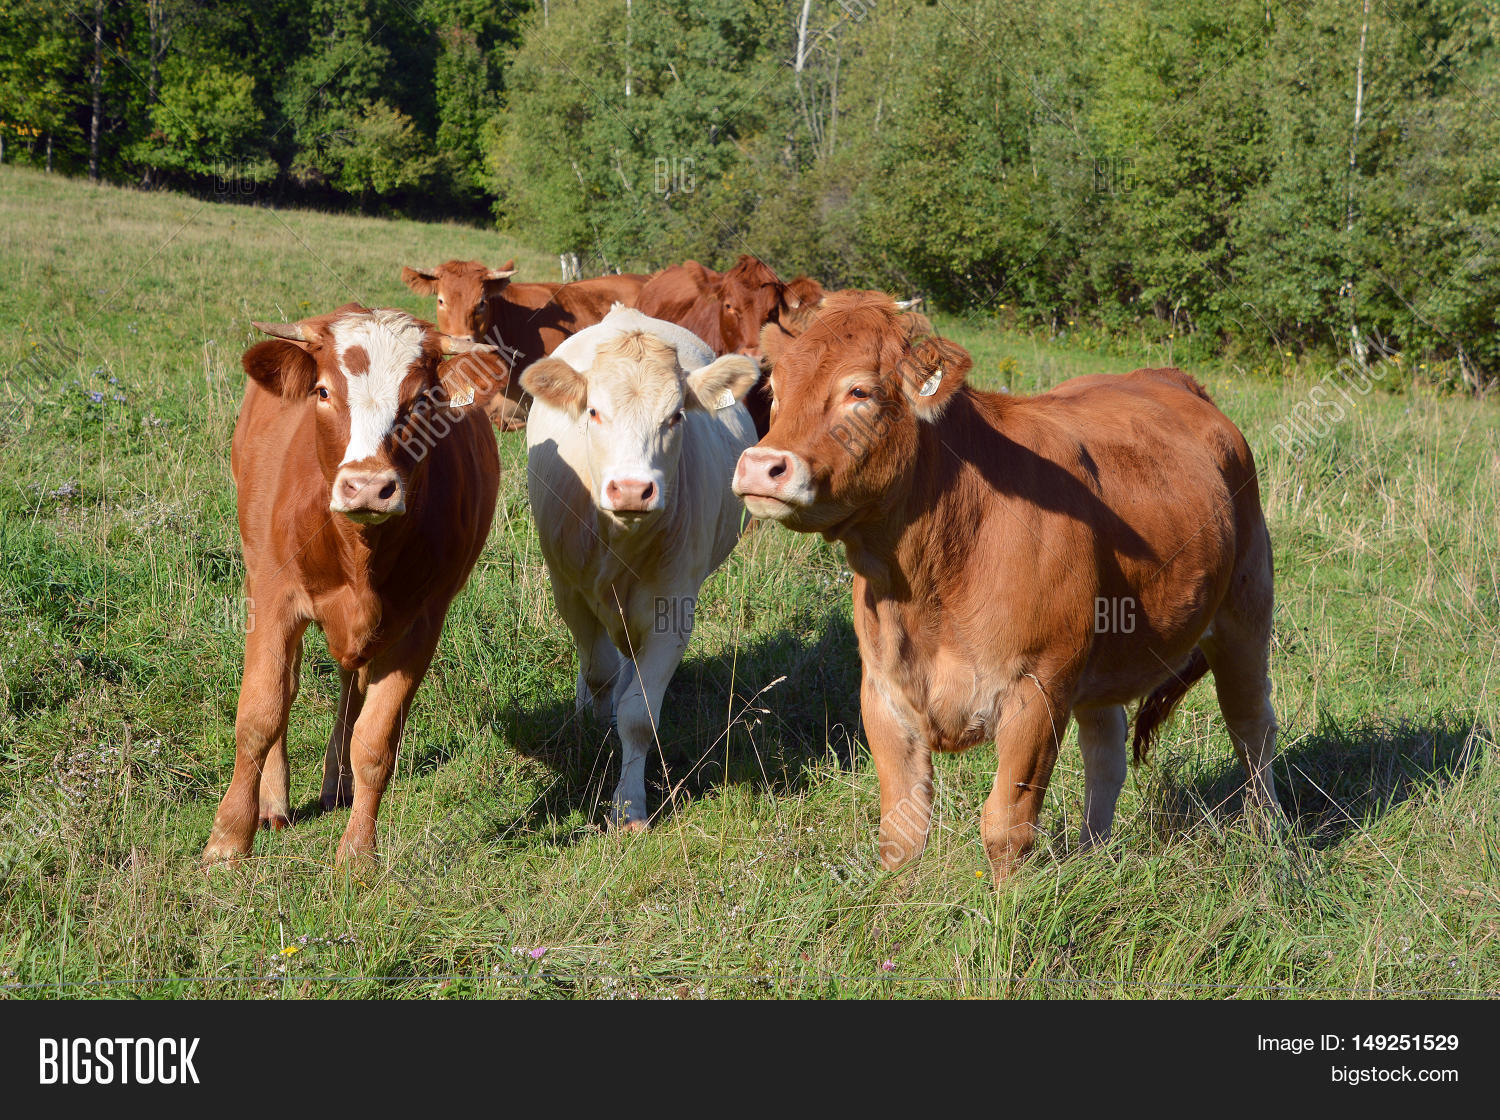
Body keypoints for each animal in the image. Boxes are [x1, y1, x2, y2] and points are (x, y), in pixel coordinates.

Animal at [202, 305, 500, 869]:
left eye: (422, 399)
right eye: (323, 391)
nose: (367, 486)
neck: (358, 551)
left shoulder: (420, 625)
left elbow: (376, 742)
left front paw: (358, 852)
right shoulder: (274, 599)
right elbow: (261, 713)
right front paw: (228, 839)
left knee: (351, 686)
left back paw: (336, 784)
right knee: (291, 684)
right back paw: (274, 801)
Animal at [520, 306, 760, 829]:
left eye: (675, 416)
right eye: (593, 411)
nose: (632, 489)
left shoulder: (674, 610)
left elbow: (638, 713)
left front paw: (629, 805)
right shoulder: (569, 591)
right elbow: (598, 672)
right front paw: (593, 723)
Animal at [731, 291, 1280, 881]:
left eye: (861, 391)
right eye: (776, 390)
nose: (761, 465)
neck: (927, 586)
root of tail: (1170, 378)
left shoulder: (1036, 690)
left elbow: (1006, 827)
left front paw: (1007, 906)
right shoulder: (882, 691)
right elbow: (901, 831)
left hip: (1246, 612)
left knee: (1252, 727)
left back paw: (1270, 837)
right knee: (1105, 750)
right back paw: (1093, 852)